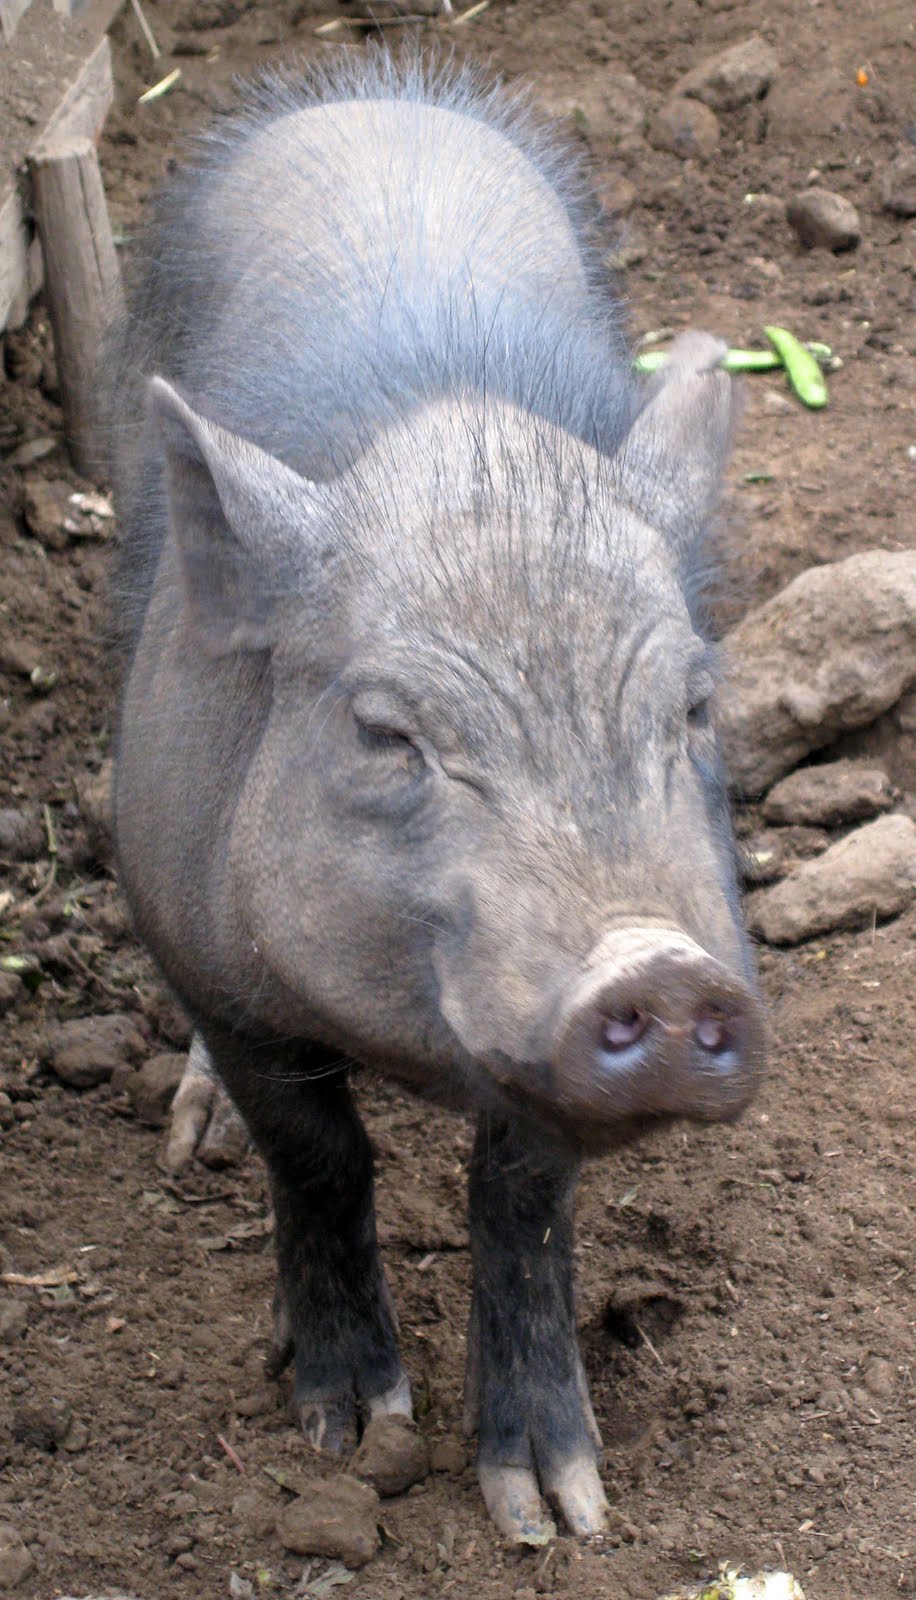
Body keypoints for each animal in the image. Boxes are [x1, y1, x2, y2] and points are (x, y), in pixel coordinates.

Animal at [110, 53, 767, 1544]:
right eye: (387, 731)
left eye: (692, 707)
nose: (659, 962)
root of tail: (373, 91)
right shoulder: (196, 938)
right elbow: (319, 1155)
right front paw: (352, 1433)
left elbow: (519, 1199)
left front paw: (557, 1514)